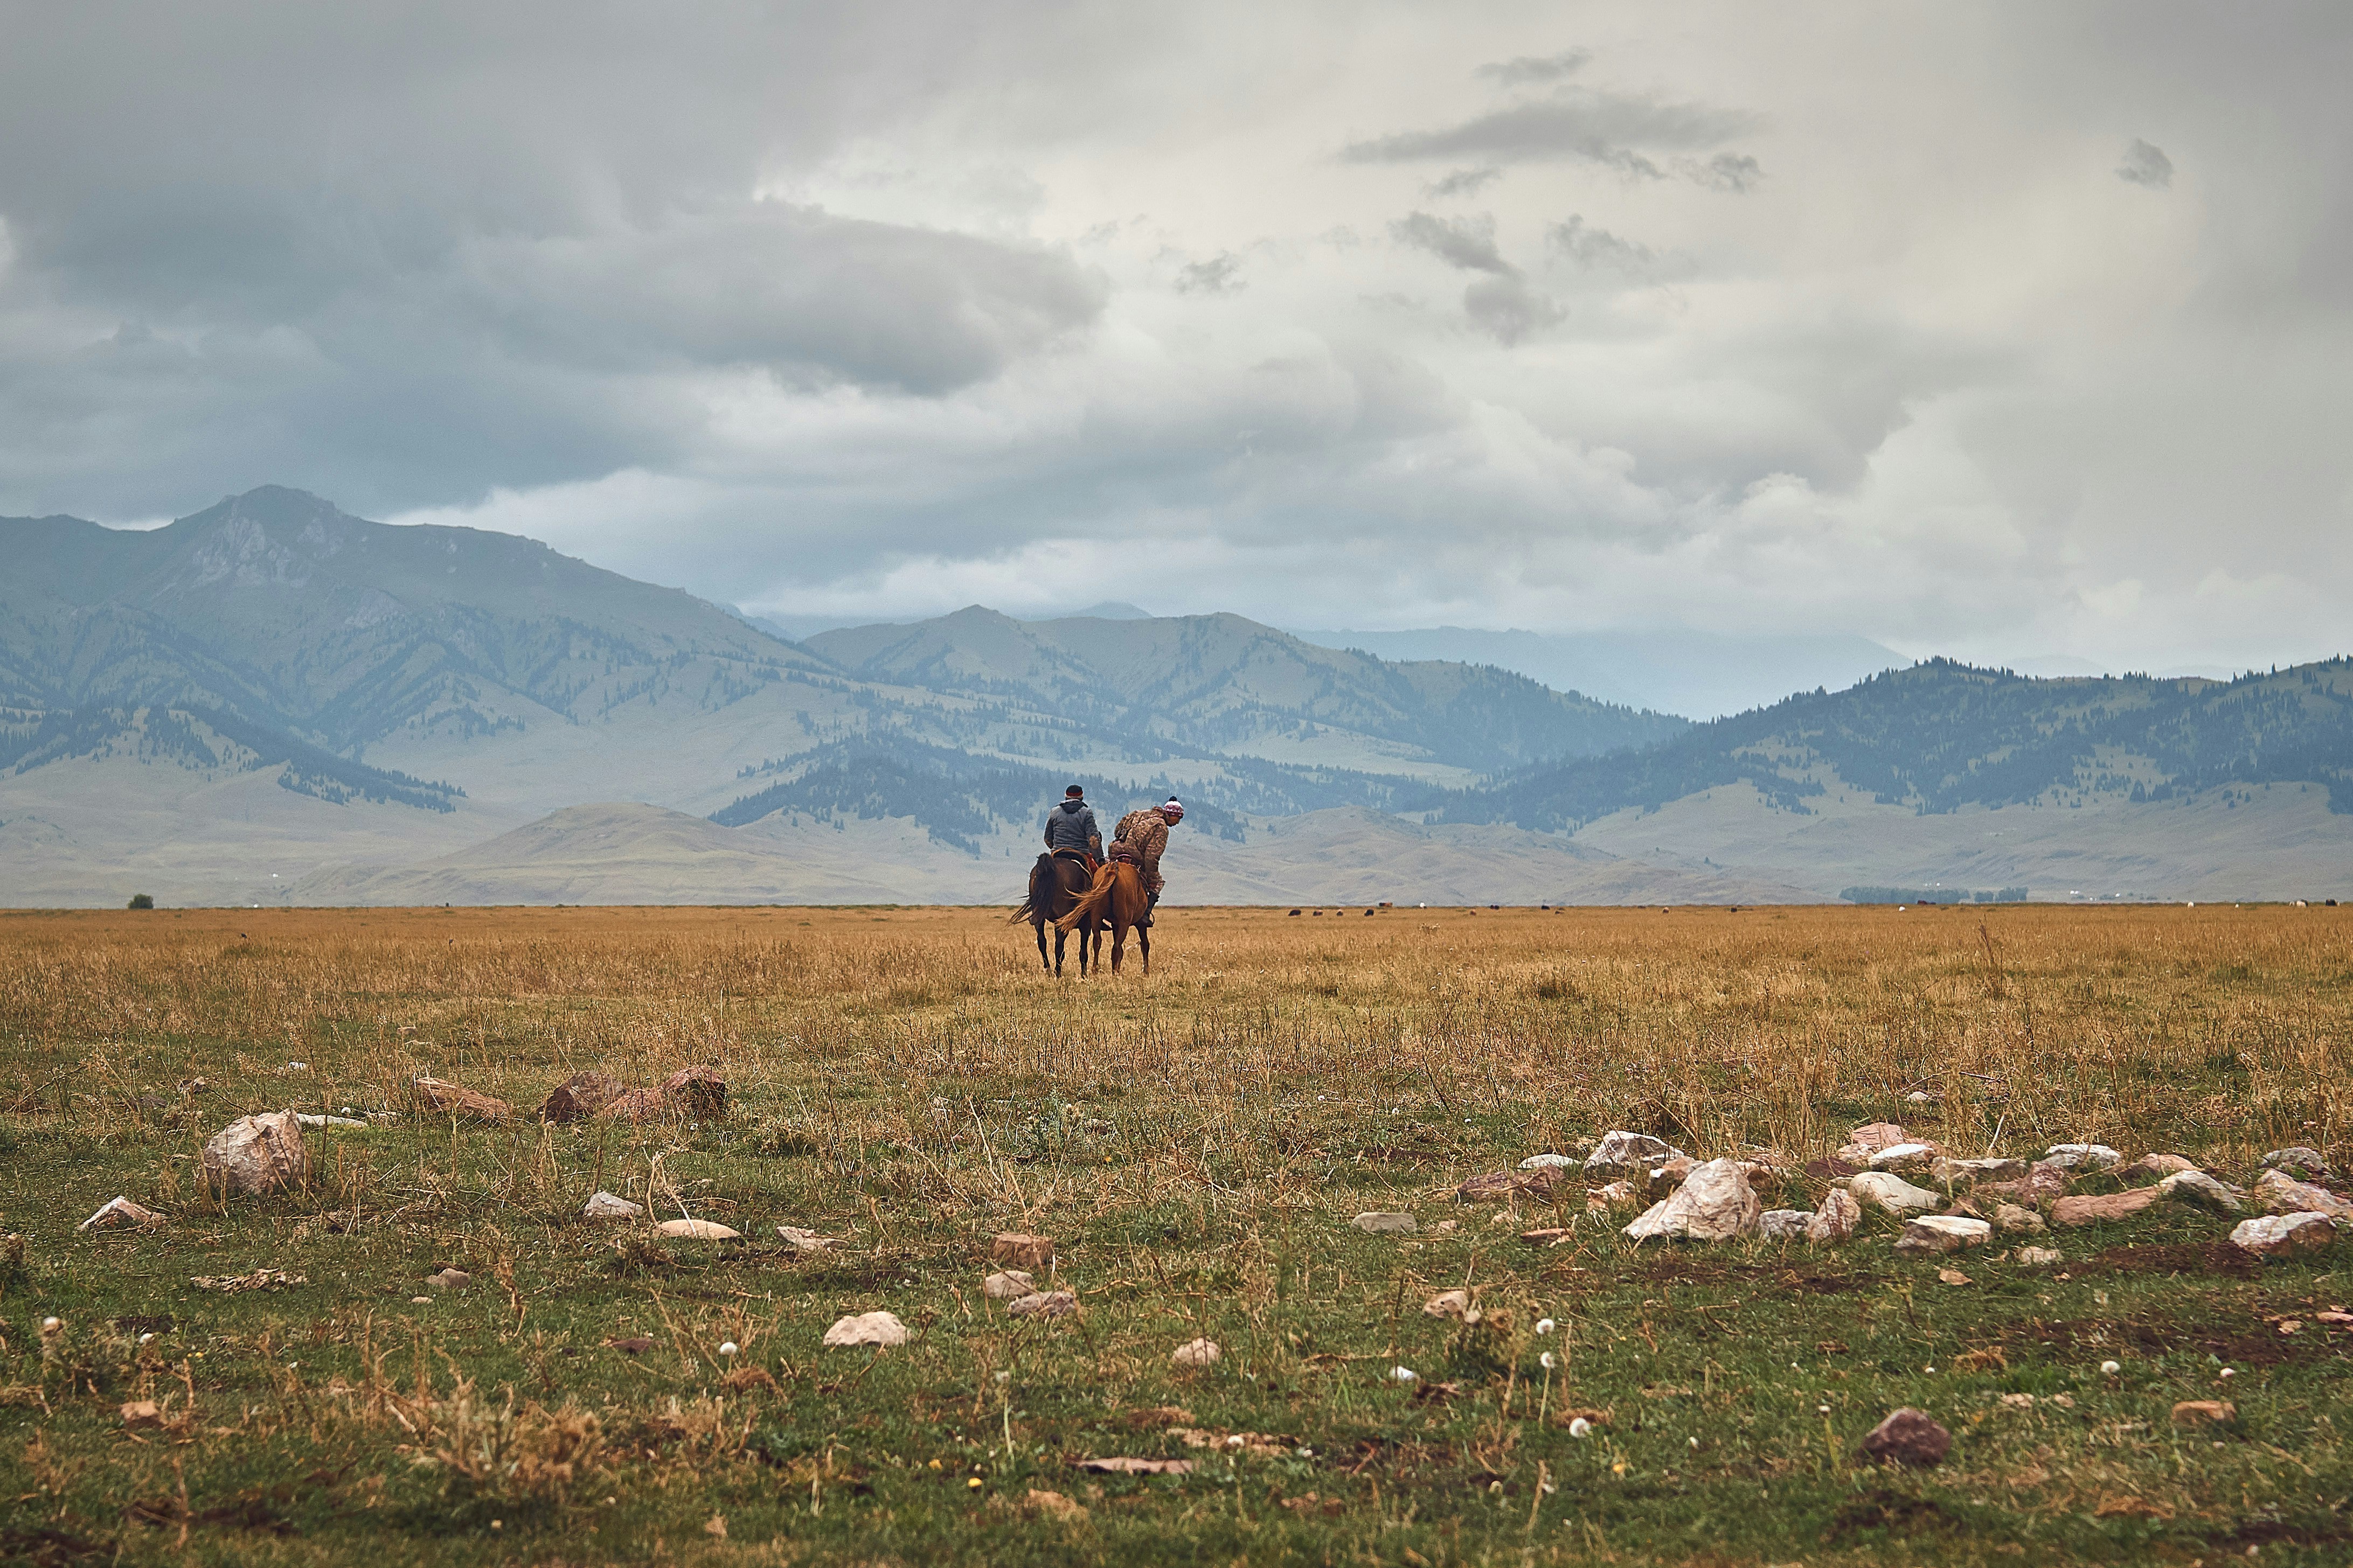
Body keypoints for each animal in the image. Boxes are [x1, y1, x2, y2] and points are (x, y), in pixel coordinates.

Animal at [1010, 852, 1101, 976]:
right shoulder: (1086, 925)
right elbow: (1083, 952)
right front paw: (1084, 975)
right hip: (1062, 921)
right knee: (1058, 946)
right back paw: (1057, 972)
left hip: (1039, 917)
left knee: (1042, 941)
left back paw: (1049, 969)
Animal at [1054, 859, 1151, 975]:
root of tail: (1113, 868)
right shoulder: (1140, 924)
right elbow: (1145, 945)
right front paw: (1145, 972)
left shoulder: (1115, 924)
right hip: (1124, 923)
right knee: (1116, 947)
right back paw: (1114, 973)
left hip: (1097, 918)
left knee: (1097, 942)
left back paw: (1095, 970)